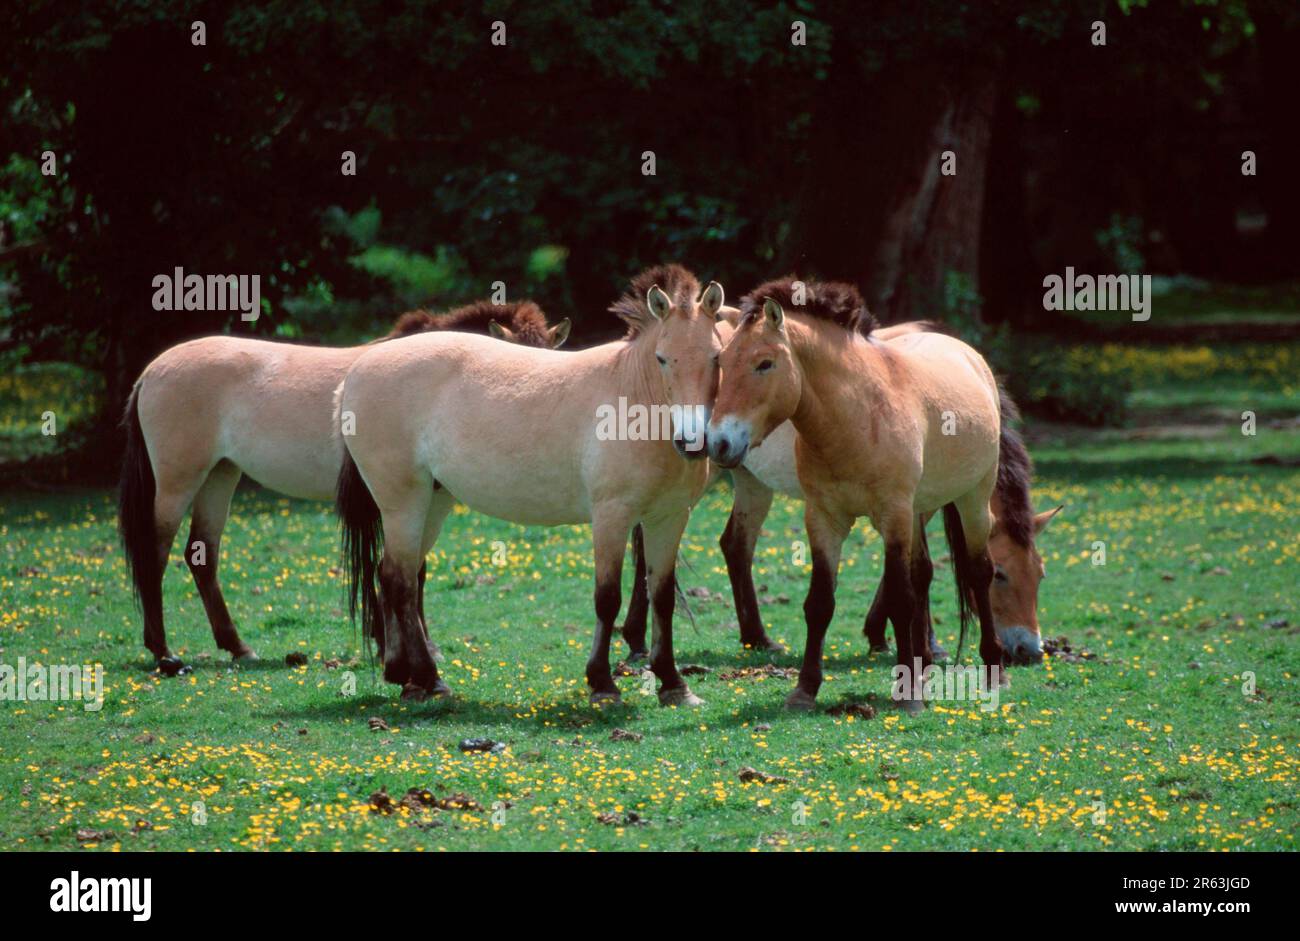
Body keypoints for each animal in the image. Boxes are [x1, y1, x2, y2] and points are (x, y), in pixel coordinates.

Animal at [118, 300, 568, 676]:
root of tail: (151, 373)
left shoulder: (427, 497)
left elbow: (414, 570)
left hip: (220, 475)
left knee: (203, 557)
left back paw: (237, 646)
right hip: (179, 481)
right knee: (155, 553)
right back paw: (165, 653)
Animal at [335, 265, 723, 705]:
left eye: (716, 356)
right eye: (662, 359)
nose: (692, 441)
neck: (634, 396)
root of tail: (357, 371)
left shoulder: (669, 518)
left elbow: (661, 597)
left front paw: (674, 683)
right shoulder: (612, 517)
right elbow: (607, 598)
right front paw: (602, 682)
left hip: (433, 502)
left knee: (394, 576)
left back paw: (405, 675)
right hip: (403, 503)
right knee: (400, 581)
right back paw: (428, 676)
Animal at [621, 319, 1062, 664]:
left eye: (1041, 575)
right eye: (1002, 575)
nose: (1030, 650)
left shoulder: (910, 502)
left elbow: (913, 569)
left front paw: (890, 637)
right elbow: (921, 571)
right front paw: (919, 644)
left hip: (750, 481)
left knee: (735, 545)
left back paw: (756, 638)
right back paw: (637, 639)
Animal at [706, 278, 1009, 712]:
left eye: (765, 363)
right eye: (722, 362)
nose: (719, 443)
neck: (858, 417)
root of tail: (969, 355)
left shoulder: (893, 515)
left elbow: (900, 597)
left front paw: (908, 695)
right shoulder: (824, 518)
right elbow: (820, 603)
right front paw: (805, 688)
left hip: (973, 498)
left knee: (978, 571)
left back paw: (993, 667)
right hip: (919, 509)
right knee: (924, 574)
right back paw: (924, 663)